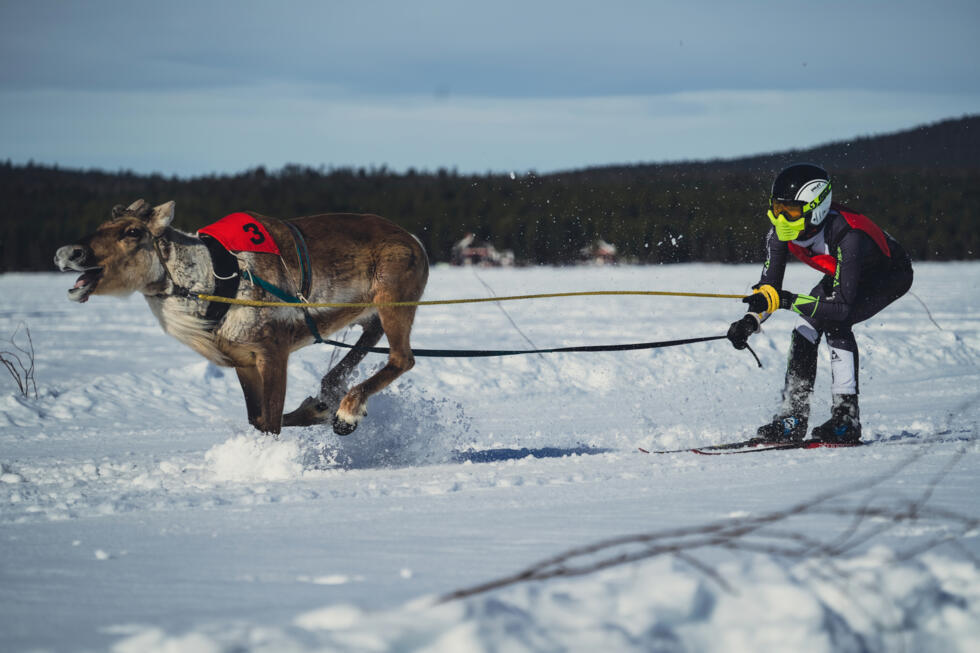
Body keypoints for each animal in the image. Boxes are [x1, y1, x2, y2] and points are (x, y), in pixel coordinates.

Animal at [54, 200, 429, 436]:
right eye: (101, 225)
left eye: (132, 232)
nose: (67, 252)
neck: (212, 282)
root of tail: (415, 240)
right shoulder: (243, 362)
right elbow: (258, 420)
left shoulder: (273, 353)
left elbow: (271, 423)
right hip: (368, 319)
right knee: (341, 370)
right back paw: (326, 407)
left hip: (392, 302)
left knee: (403, 358)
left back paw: (347, 412)